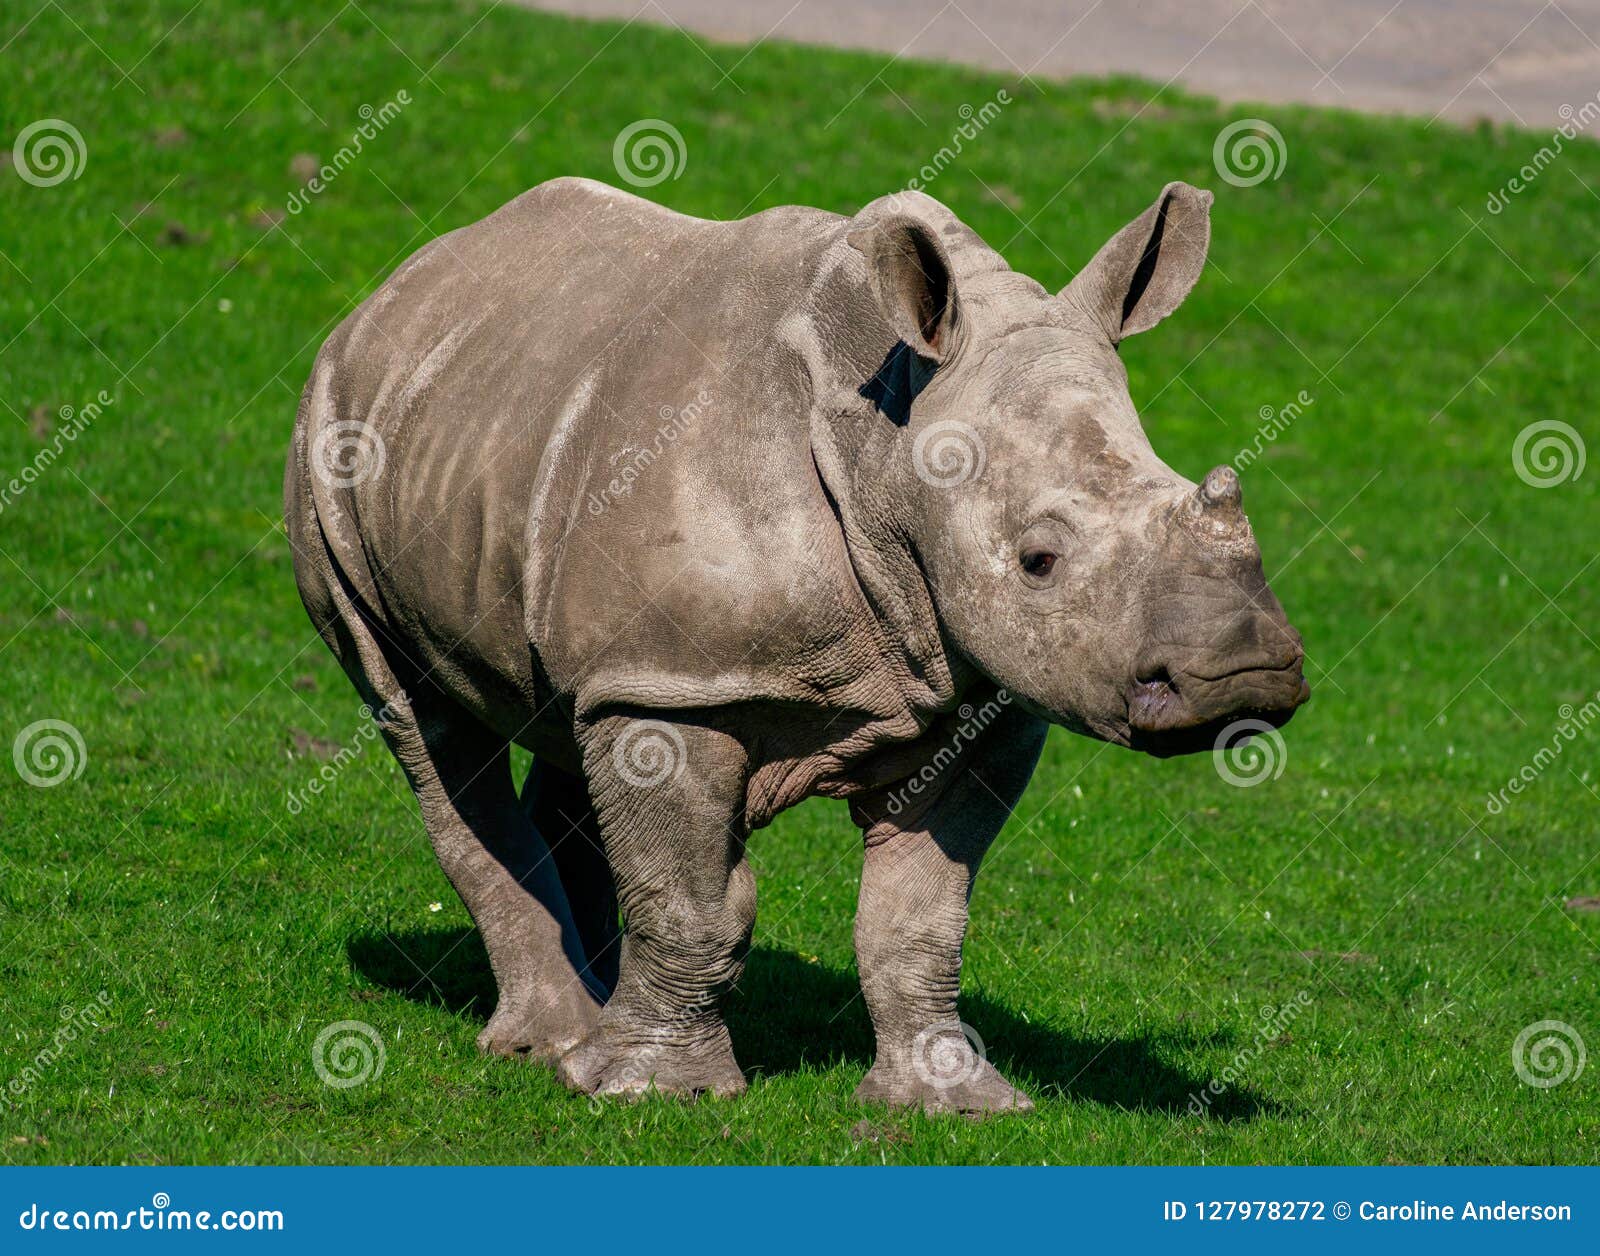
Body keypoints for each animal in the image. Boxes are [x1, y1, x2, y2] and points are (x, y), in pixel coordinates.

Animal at [286, 175, 1307, 1114]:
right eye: (1038, 561)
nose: (1244, 675)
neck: (894, 452)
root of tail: (397, 285)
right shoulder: (683, 683)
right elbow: (693, 901)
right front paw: (654, 1092)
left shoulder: (980, 695)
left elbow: (921, 917)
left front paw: (952, 1102)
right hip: (326, 449)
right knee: (426, 723)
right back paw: (556, 1045)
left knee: (569, 712)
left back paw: (591, 1023)